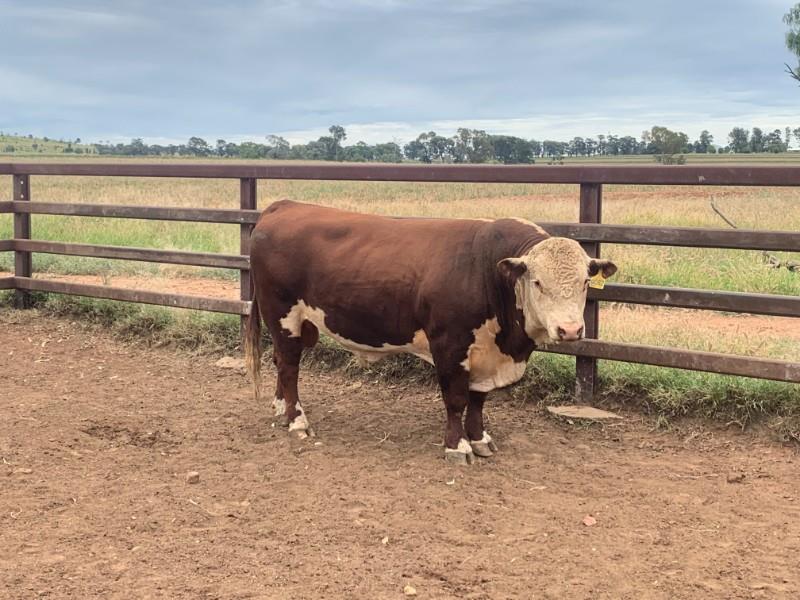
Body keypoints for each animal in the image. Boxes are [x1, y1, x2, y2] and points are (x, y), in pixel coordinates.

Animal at [245, 200, 617, 464]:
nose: (570, 329)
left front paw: (480, 439)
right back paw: (297, 420)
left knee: (281, 362)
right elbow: (456, 399)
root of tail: (285, 206)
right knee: (290, 366)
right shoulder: (449, 345)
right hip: (283, 314)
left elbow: (478, 400)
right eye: (538, 282)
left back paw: (281, 408)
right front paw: (457, 446)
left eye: (585, 282)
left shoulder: (484, 352)